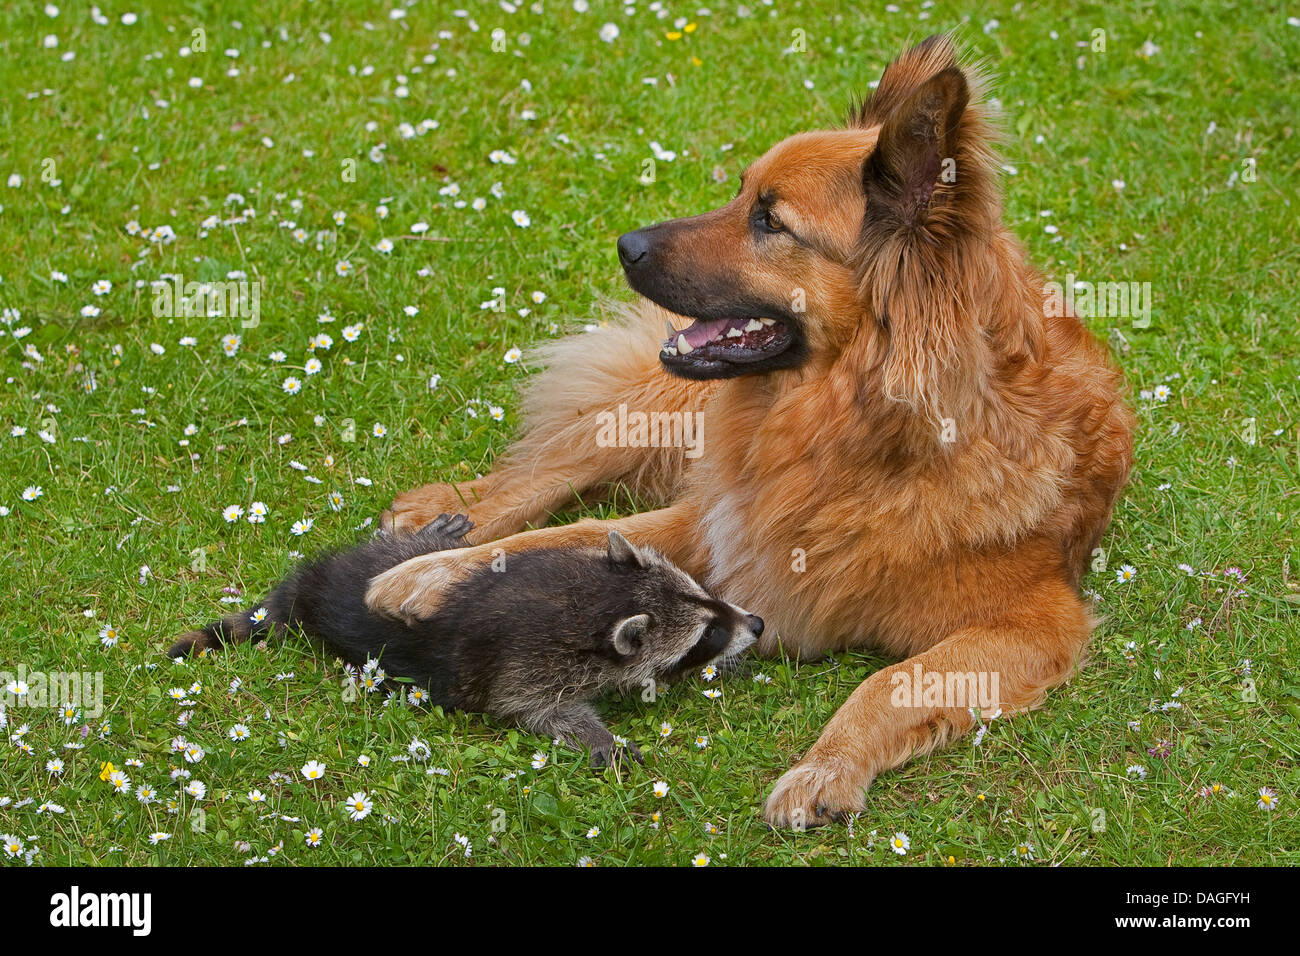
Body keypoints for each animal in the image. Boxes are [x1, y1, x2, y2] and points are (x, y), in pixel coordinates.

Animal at [168, 514, 761, 766]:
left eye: (705, 595)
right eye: (708, 633)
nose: (755, 624)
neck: (592, 598)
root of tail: (306, 588)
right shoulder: (527, 663)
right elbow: (541, 711)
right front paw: (600, 737)